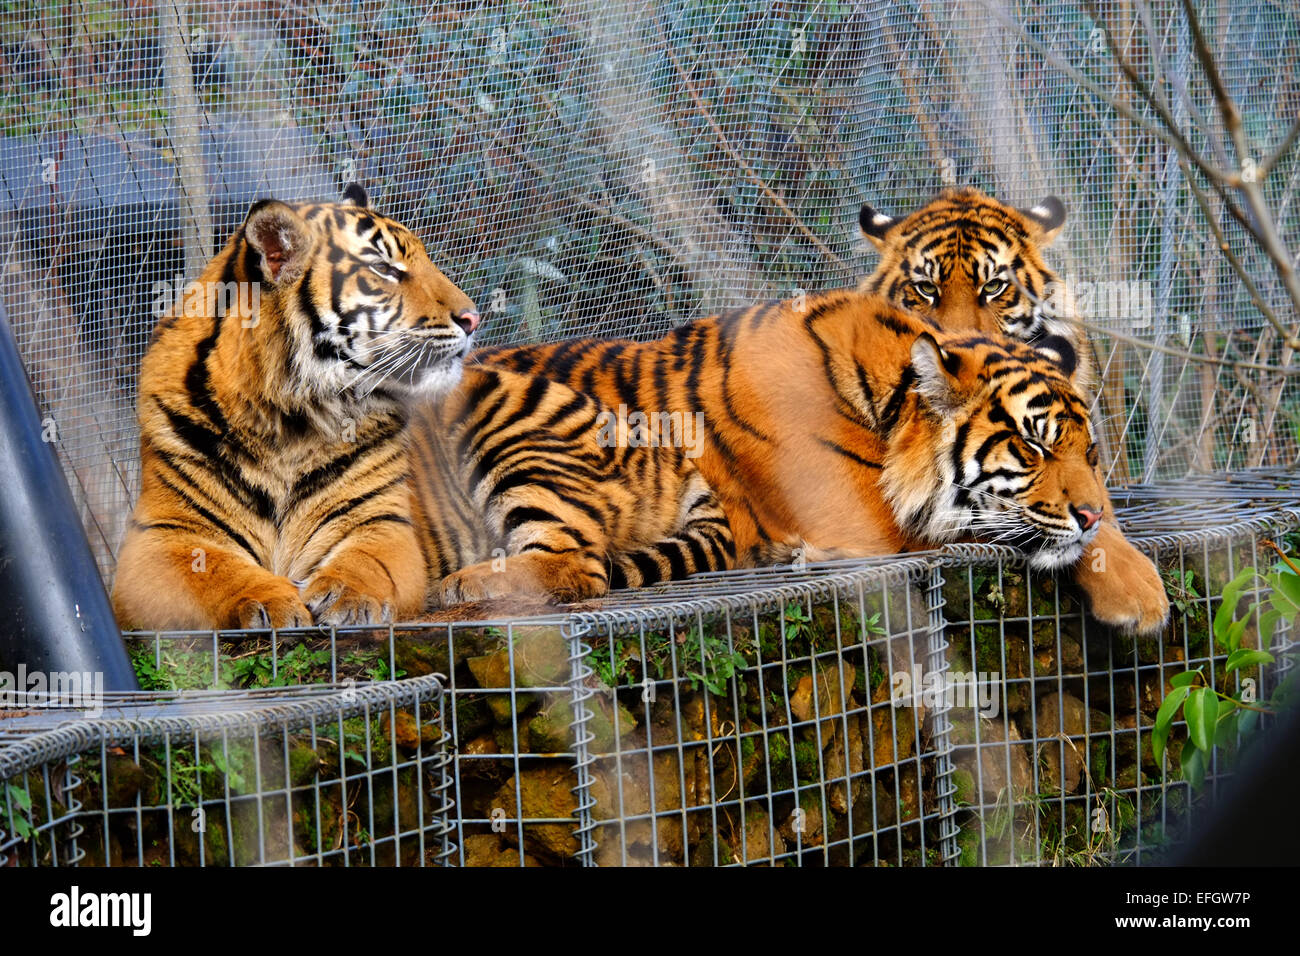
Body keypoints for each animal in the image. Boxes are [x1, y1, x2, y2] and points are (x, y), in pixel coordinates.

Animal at [113, 185, 479, 630]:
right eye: (384, 269)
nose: (473, 318)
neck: (289, 420)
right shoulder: (162, 535)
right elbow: (215, 570)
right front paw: (269, 599)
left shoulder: (381, 522)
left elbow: (368, 561)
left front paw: (349, 594)